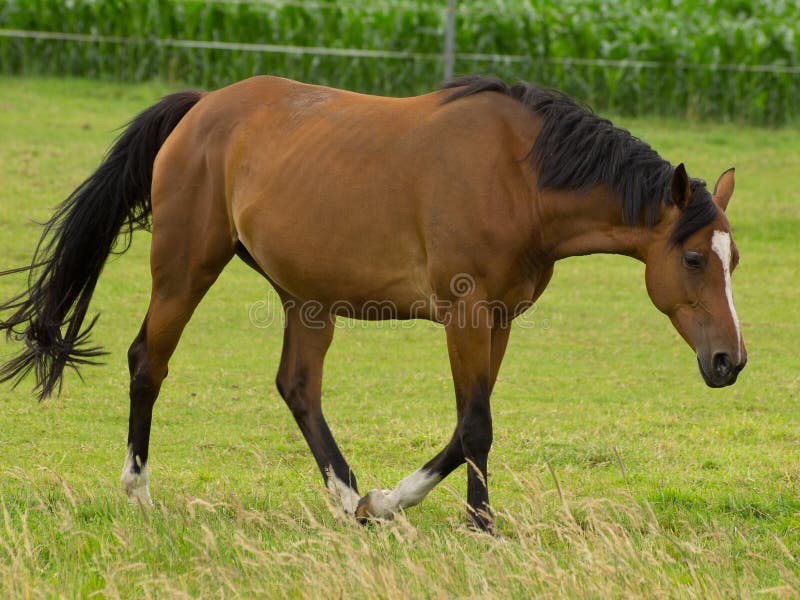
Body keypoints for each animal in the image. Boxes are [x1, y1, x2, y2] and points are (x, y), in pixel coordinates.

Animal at [0, 75, 746, 532]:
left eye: (734, 259)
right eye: (693, 259)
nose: (729, 361)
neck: (521, 174)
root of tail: (203, 106)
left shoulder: (499, 320)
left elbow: (467, 426)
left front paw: (388, 503)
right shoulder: (466, 315)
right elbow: (476, 426)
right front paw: (476, 524)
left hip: (305, 299)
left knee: (298, 387)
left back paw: (345, 497)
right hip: (184, 271)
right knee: (147, 363)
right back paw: (139, 490)